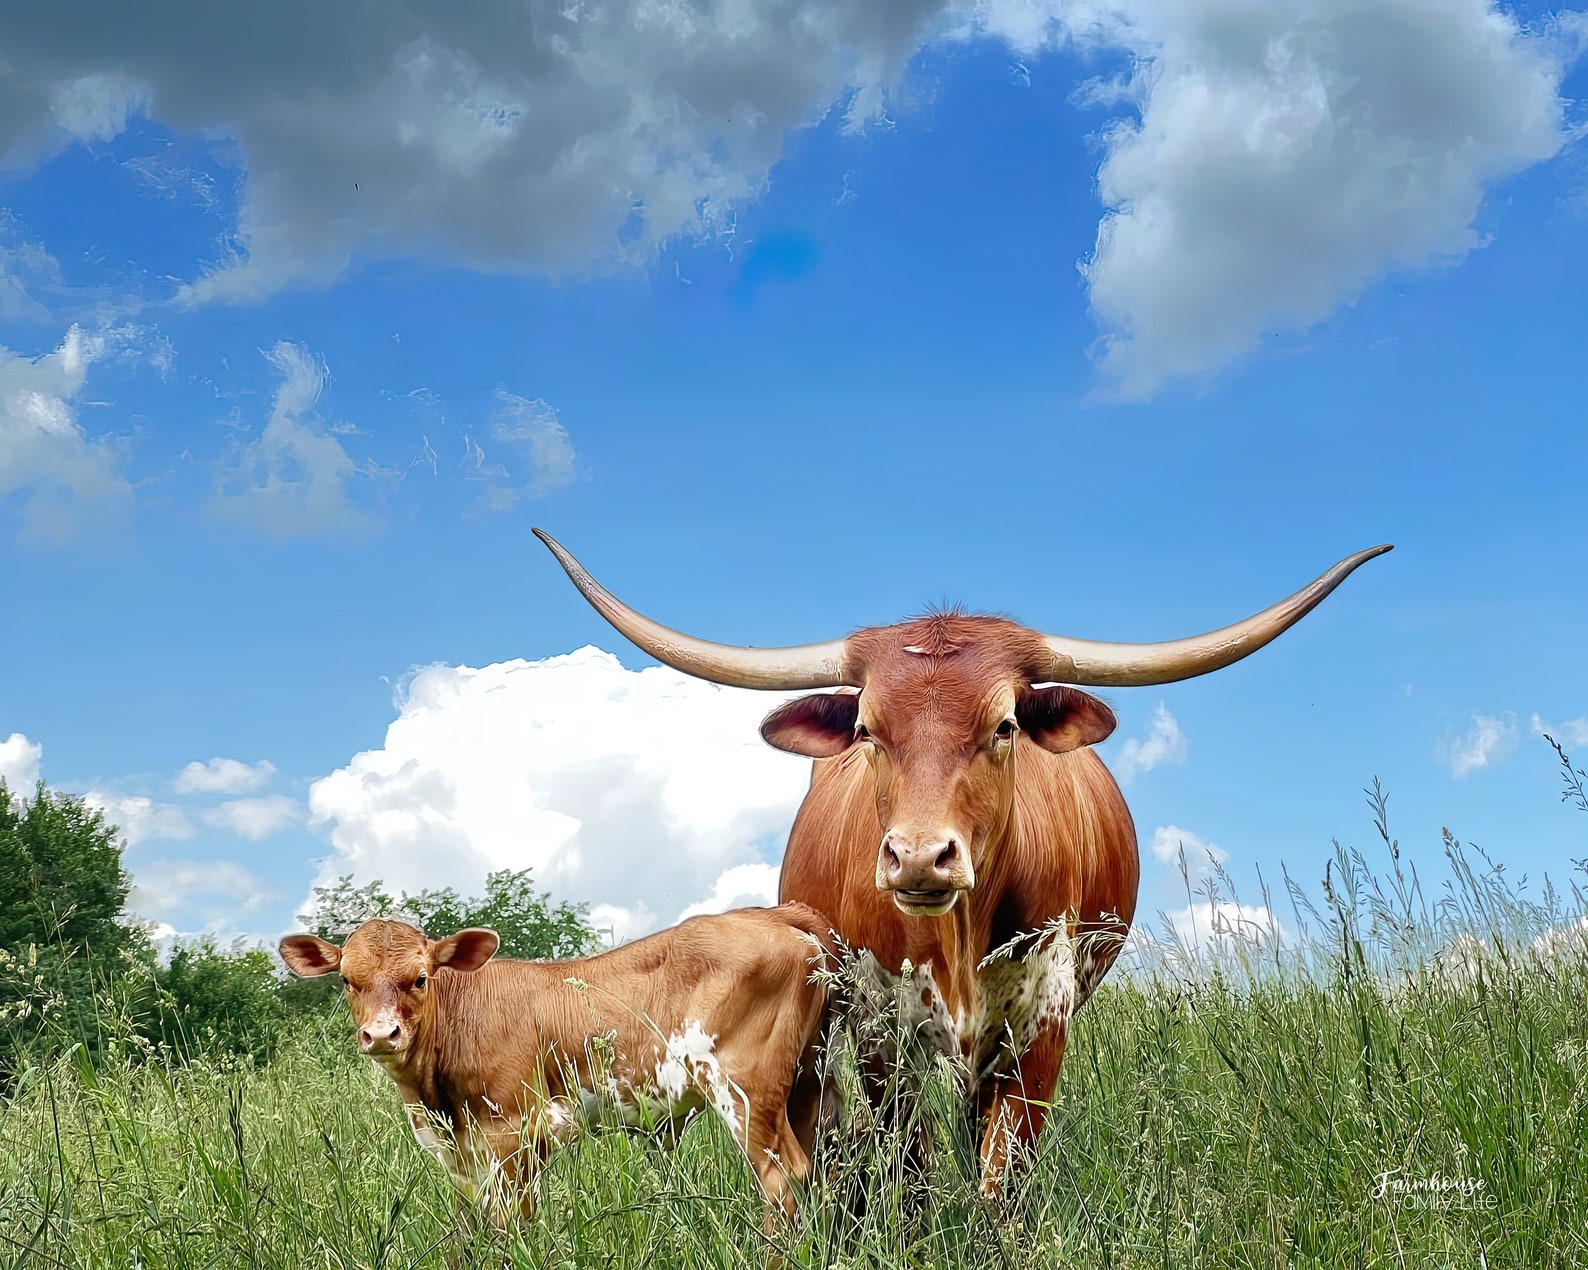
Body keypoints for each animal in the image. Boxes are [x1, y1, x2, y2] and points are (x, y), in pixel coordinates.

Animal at [278, 904, 835, 1224]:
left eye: (419, 978)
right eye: (347, 981)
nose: (380, 1034)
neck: (432, 1100)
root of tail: (769, 913)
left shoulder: (517, 1132)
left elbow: (511, 1224)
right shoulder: (459, 1156)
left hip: (744, 1089)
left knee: (781, 1179)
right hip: (808, 1080)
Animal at [533, 528, 1390, 1192]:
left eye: (1004, 725)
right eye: (868, 728)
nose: (920, 857)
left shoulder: (1041, 1024)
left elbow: (1000, 1179)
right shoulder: (883, 1030)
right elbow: (909, 1172)